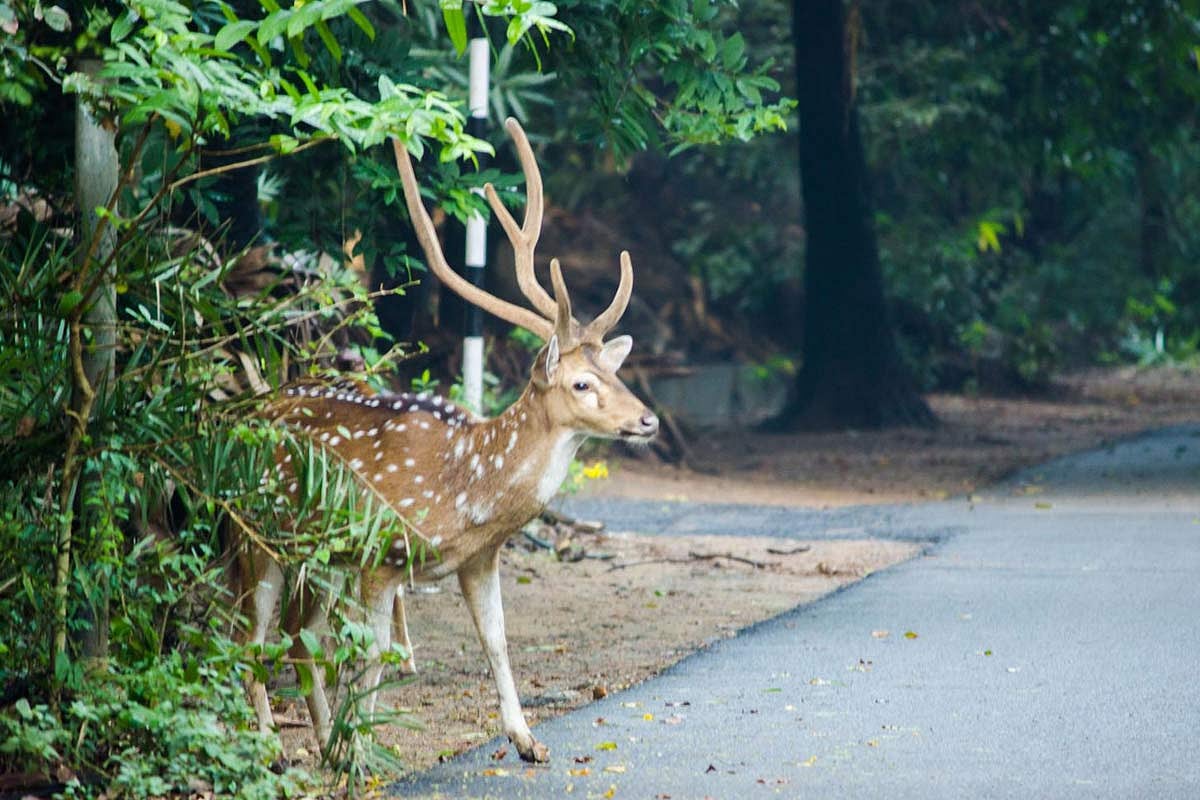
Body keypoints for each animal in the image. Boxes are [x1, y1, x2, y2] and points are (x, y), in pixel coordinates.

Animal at [235, 118, 659, 765]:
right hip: (257, 532)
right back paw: (270, 743)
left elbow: (497, 640)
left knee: (298, 636)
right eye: (582, 383)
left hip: (319, 552)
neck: (470, 495)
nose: (648, 421)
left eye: (617, 374)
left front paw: (527, 740)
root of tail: (247, 410)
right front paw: (364, 753)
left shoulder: (480, 559)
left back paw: (322, 742)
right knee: (252, 635)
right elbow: (375, 655)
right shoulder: (383, 553)